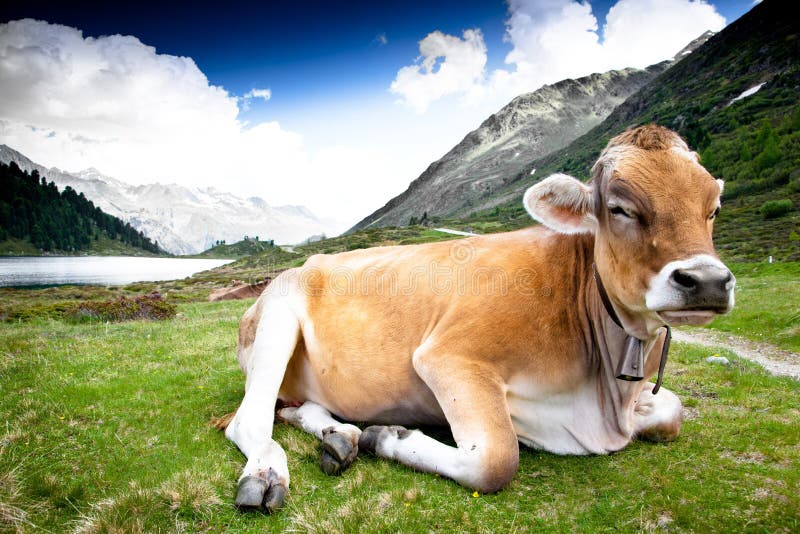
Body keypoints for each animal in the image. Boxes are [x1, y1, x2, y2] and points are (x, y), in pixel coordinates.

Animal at [219, 124, 735, 511]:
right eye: (619, 208)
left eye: (712, 207)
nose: (707, 280)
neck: (606, 398)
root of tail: (306, 263)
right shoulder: (450, 356)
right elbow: (496, 462)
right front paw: (389, 437)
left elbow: (672, 413)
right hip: (276, 320)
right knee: (248, 420)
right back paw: (268, 472)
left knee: (296, 408)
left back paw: (338, 436)